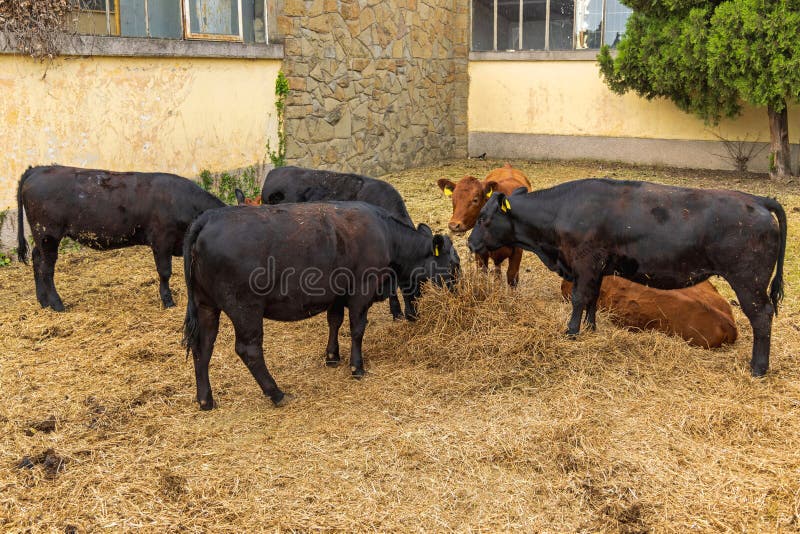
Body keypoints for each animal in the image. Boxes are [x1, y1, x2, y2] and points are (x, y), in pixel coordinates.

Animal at [16, 165, 225, 311]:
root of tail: (38, 169)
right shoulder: (162, 240)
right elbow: (165, 272)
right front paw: (168, 301)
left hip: (42, 237)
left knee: (37, 259)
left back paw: (43, 301)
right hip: (48, 235)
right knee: (46, 269)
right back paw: (57, 304)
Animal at [181, 202, 460, 409]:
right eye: (454, 264)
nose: (459, 294)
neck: (386, 236)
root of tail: (208, 218)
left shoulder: (335, 293)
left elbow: (334, 321)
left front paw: (332, 356)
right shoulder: (362, 289)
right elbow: (357, 328)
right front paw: (356, 367)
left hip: (206, 305)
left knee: (202, 346)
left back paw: (205, 400)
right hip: (245, 308)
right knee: (248, 350)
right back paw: (276, 393)